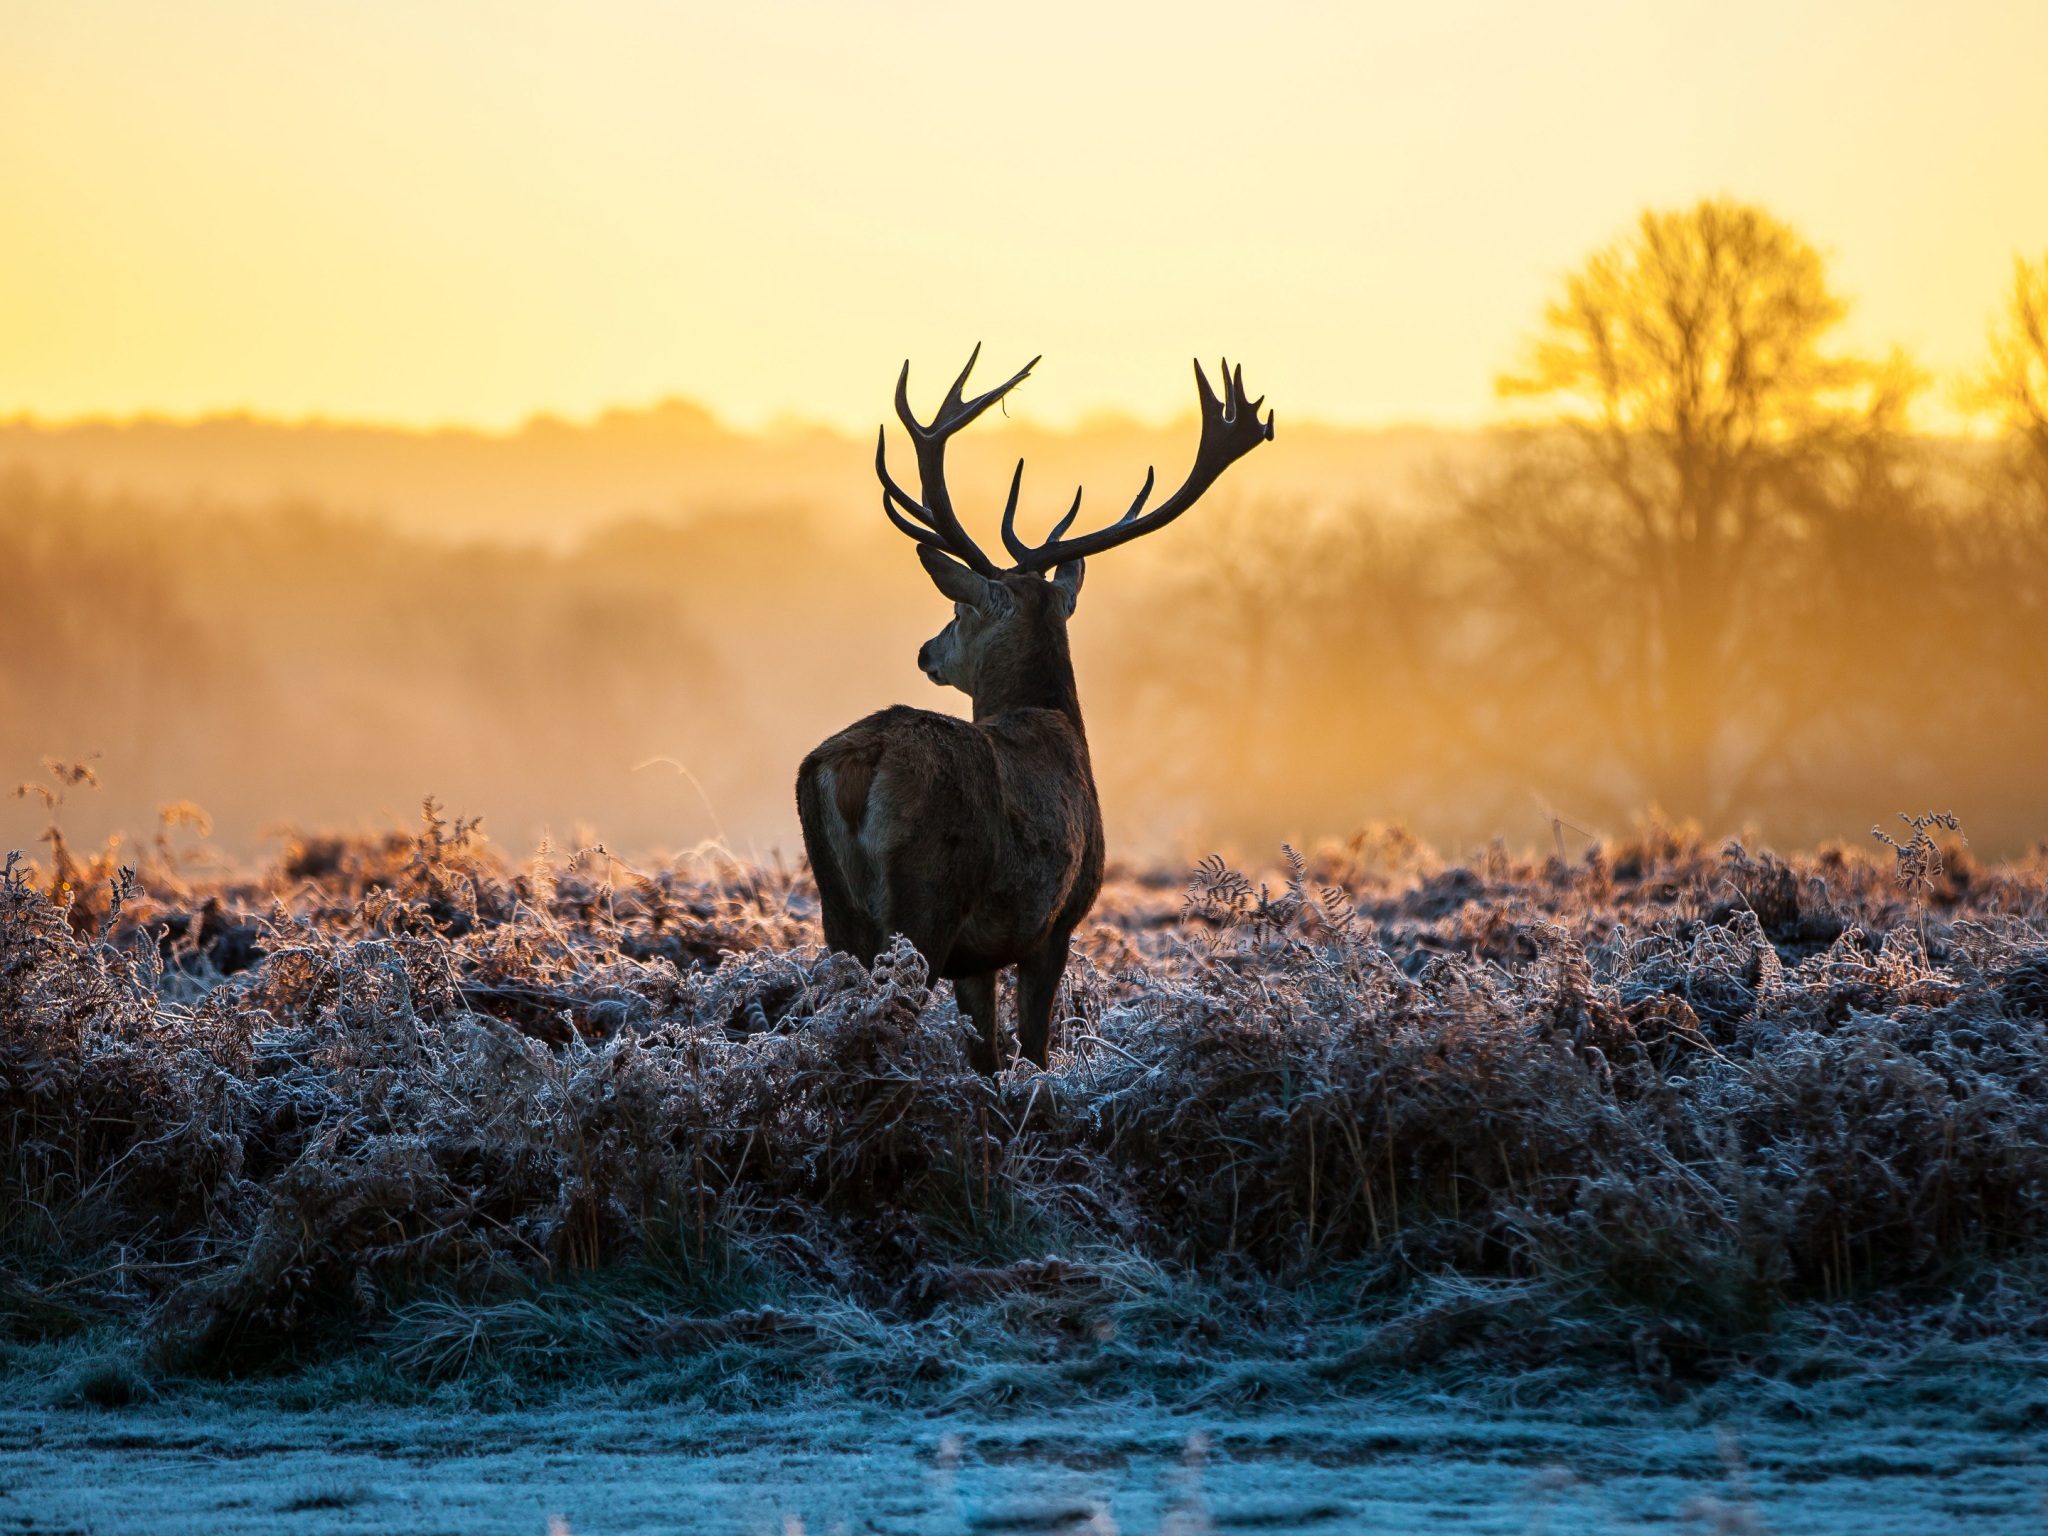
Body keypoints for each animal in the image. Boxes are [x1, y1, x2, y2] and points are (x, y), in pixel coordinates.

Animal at [796, 349, 1273, 1073]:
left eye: (958, 608)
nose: (926, 651)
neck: (1055, 723)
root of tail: (858, 764)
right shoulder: (1055, 923)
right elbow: (1034, 1051)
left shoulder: (980, 955)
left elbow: (987, 1055)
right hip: (927, 900)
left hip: (838, 913)